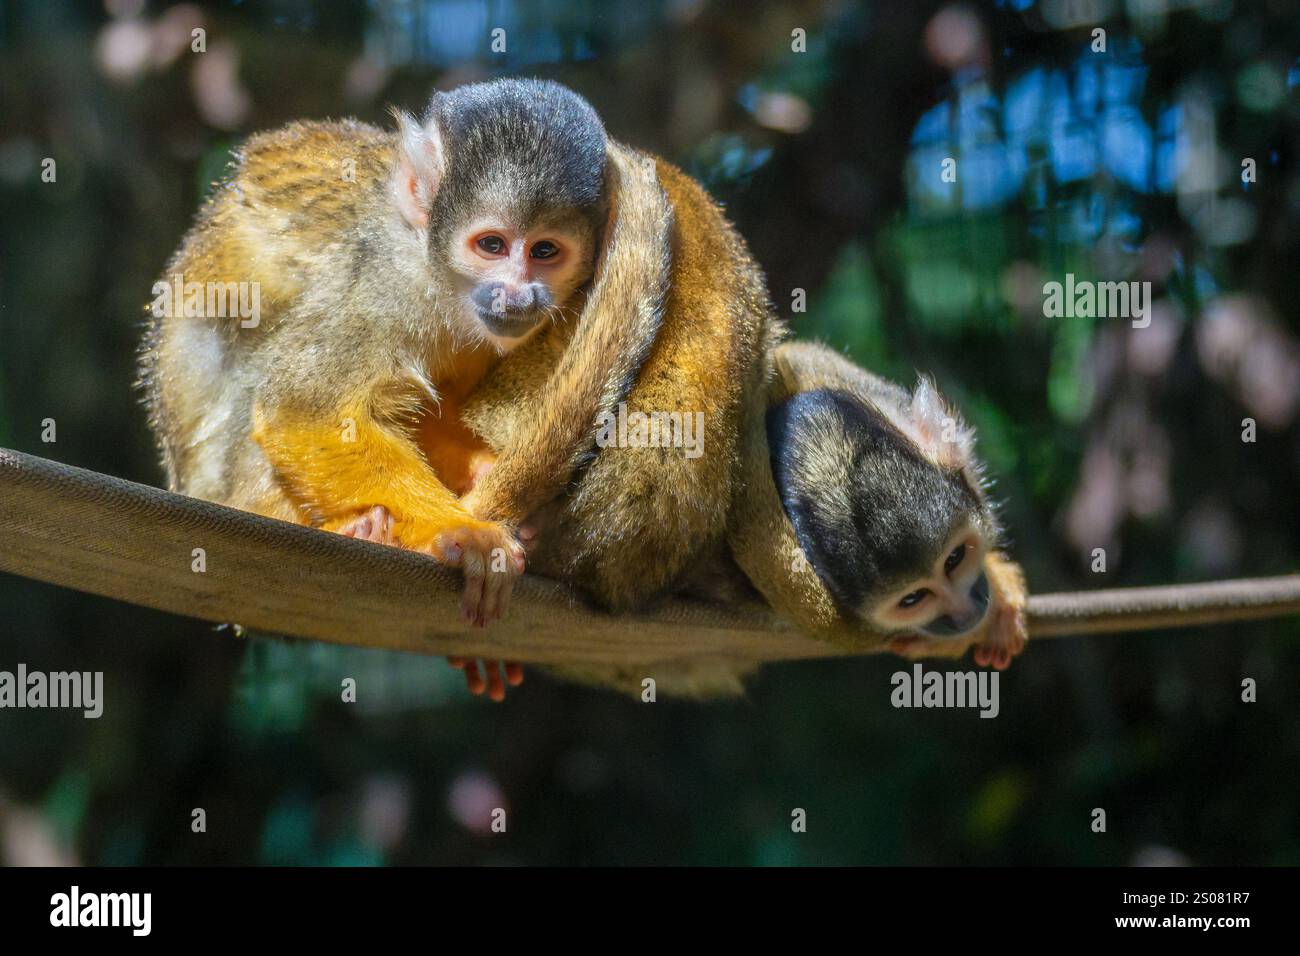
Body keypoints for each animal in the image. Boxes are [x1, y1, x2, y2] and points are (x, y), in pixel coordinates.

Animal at [139, 78, 671, 633]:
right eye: (491, 245)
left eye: (544, 251)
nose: (517, 296)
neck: (434, 269)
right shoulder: (383, 278)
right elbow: (304, 409)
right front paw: (461, 532)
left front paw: (477, 471)